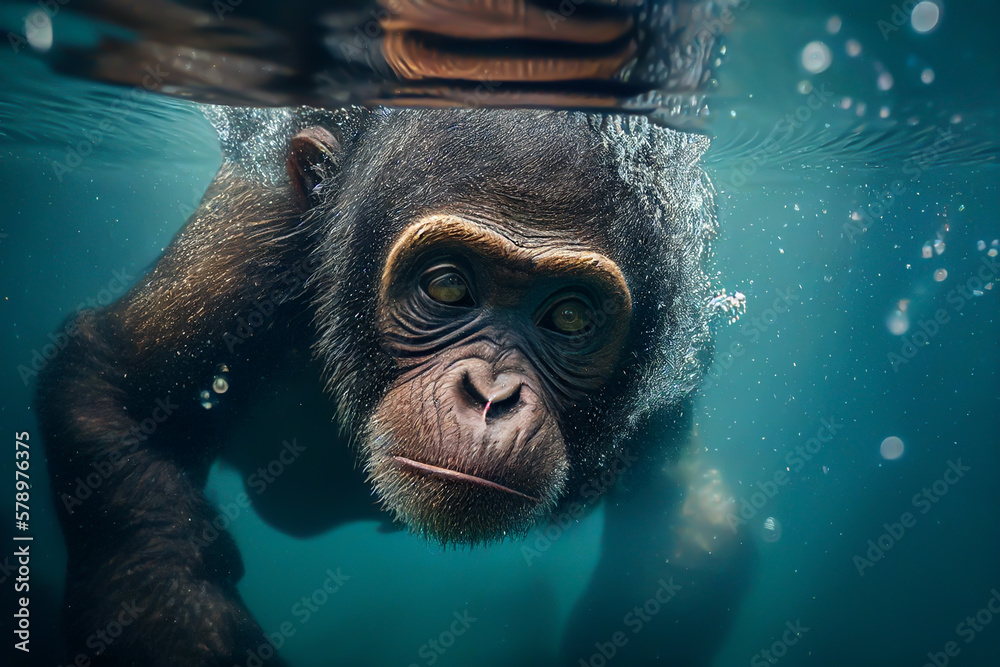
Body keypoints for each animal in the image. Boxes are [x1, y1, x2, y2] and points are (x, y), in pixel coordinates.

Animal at [36, 106, 753, 666]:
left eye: (570, 317)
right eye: (448, 285)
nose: (492, 395)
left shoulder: (670, 370)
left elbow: (687, 511)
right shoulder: (249, 236)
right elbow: (117, 391)